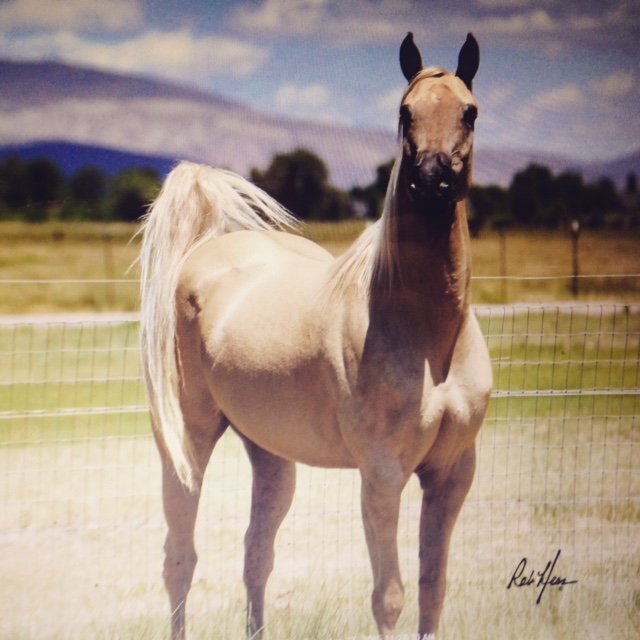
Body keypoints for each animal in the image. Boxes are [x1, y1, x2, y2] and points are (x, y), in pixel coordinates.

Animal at [139, 32, 491, 639]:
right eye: (405, 112)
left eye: (468, 111)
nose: (431, 179)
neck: (429, 337)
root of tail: (204, 250)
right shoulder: (382, 475)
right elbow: (390, 598)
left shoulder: (451, 475)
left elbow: (434, 589)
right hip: (187, 442)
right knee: (179, 560)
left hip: (271, 454)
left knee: (256, 555)